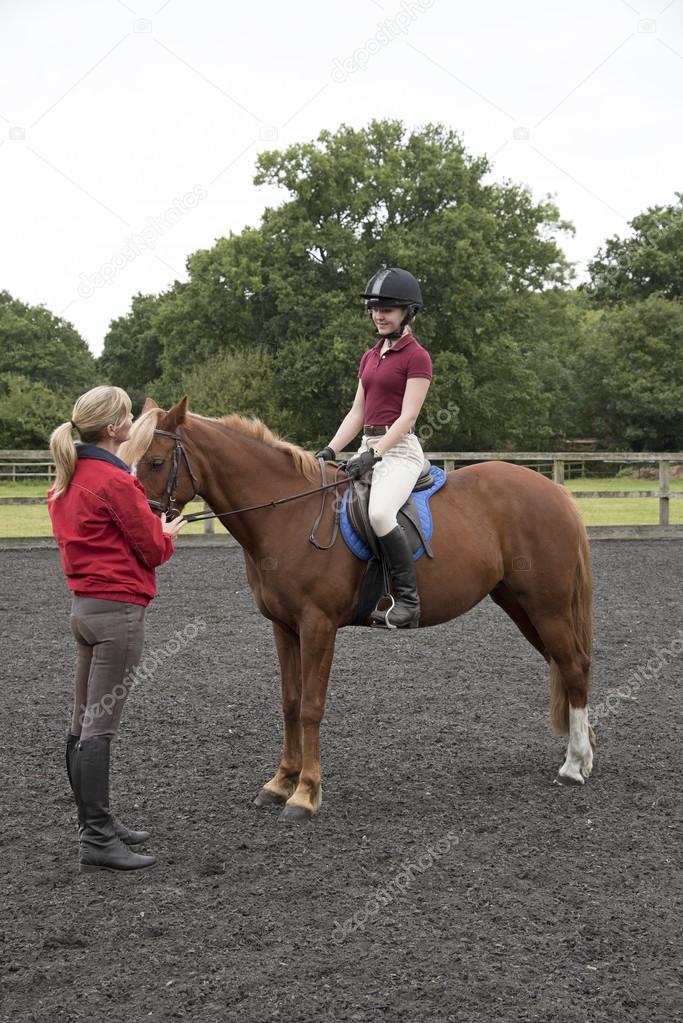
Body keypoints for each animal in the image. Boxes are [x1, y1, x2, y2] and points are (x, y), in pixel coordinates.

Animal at [122, 397, 596, 822]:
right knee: (565, 665)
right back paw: (585, 753)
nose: (138, 521)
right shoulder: (284, 627)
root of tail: (554, 490)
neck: (288, 515)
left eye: (156, 461)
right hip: (521, 605)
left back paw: (574, 765)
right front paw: (279, 783)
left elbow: (311, 705)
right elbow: (290, 701)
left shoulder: (317, 625)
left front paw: (305, 795)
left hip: (547, 606)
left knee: (572, 666)